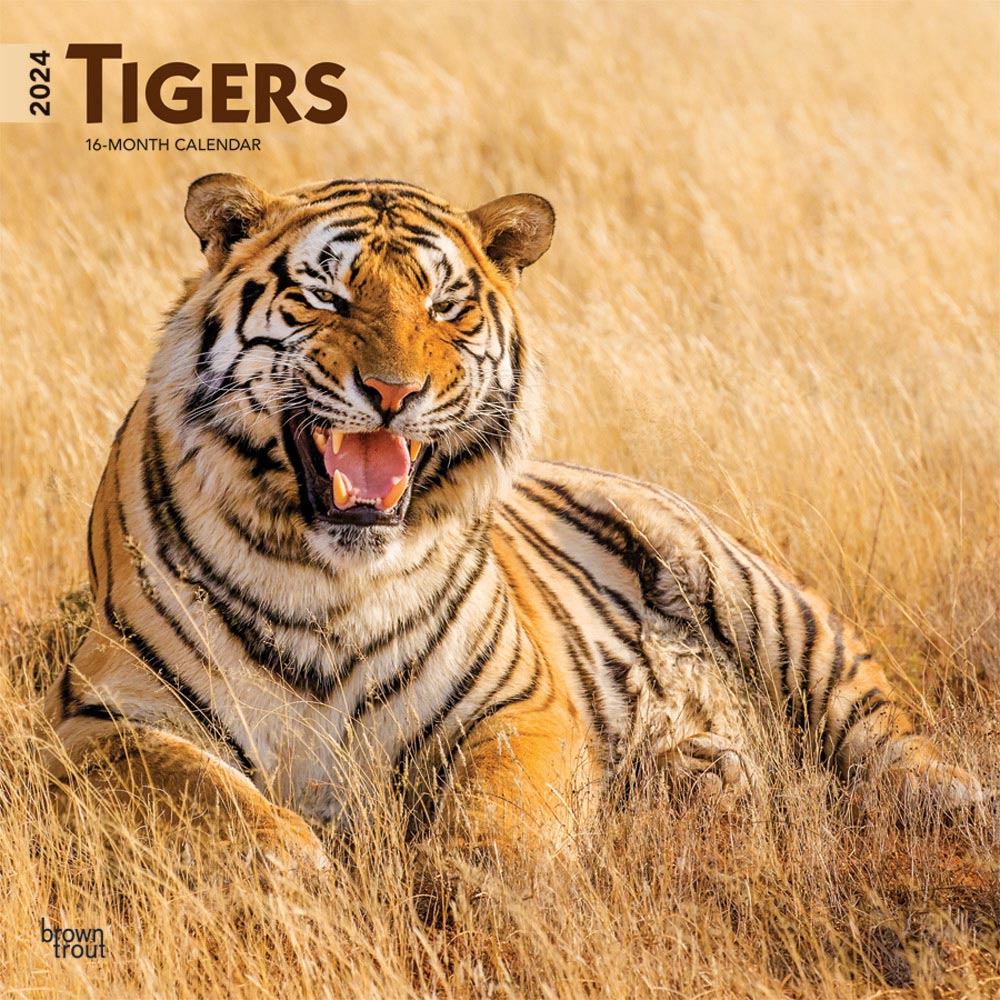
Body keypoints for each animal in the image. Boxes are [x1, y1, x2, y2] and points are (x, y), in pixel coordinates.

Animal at [43, 173, 985, 880]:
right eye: (327, 298)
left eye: (446, 307)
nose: (393, 392)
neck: (330, 578)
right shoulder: (100, 715)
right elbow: (200, 794)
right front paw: (293, 867)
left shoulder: (520, 704)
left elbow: (504, 808)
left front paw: (486, 881)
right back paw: (704, 776)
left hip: (781, 616)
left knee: (894, 749)